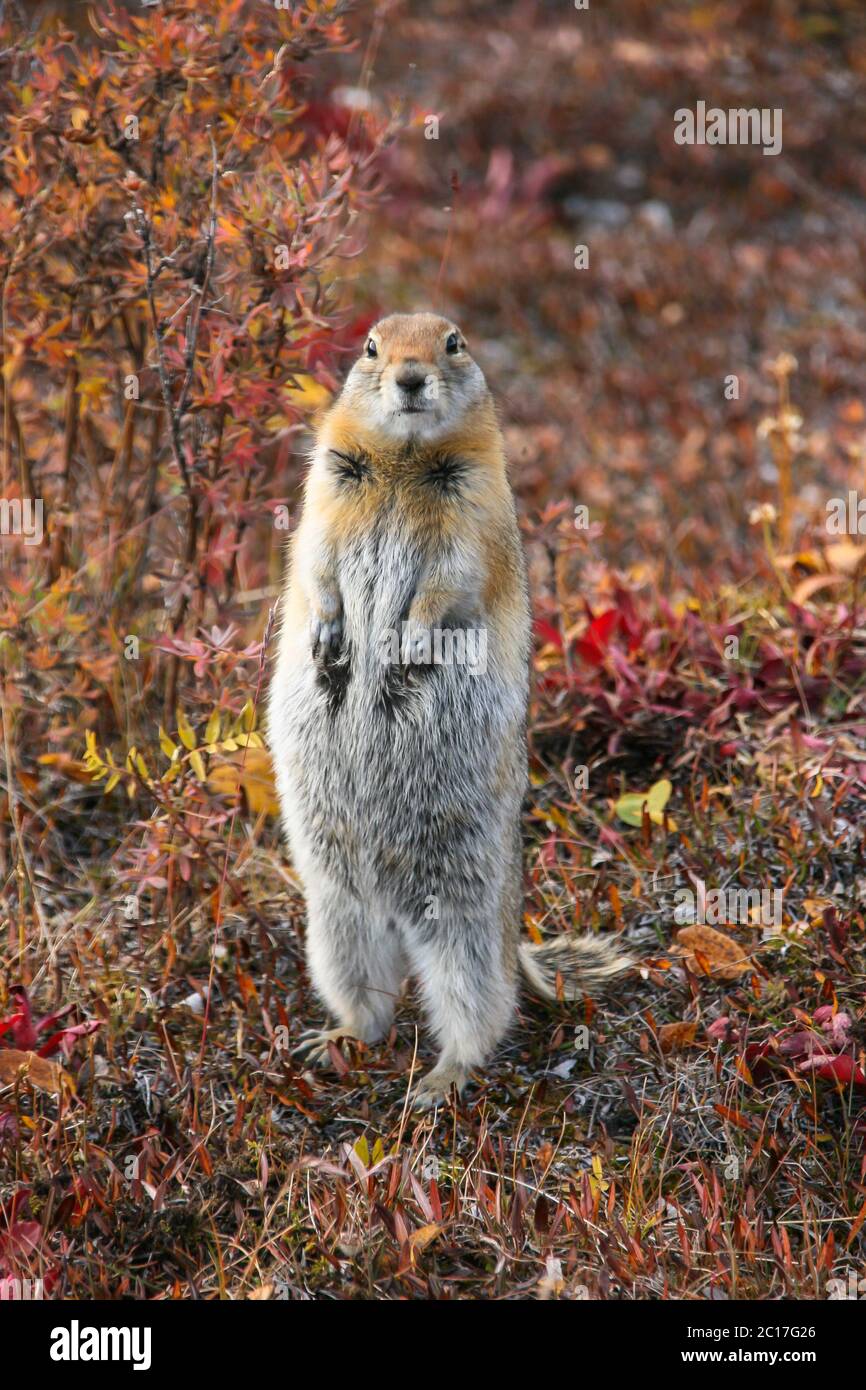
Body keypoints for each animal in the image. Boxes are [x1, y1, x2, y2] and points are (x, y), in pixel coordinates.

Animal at [267, 311, 631, 1107]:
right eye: (372, 347)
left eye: (454, 342)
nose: (409, 378)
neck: (404, 459)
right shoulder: (324, 489)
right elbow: (315, 562)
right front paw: (329, 640)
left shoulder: (476, 504)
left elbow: (448, 582)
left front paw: (405, 645)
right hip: (334, 920)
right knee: (373, 1001)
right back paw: (334, 1040)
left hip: (464, 927)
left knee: (479, 1010)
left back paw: (440, 1081)